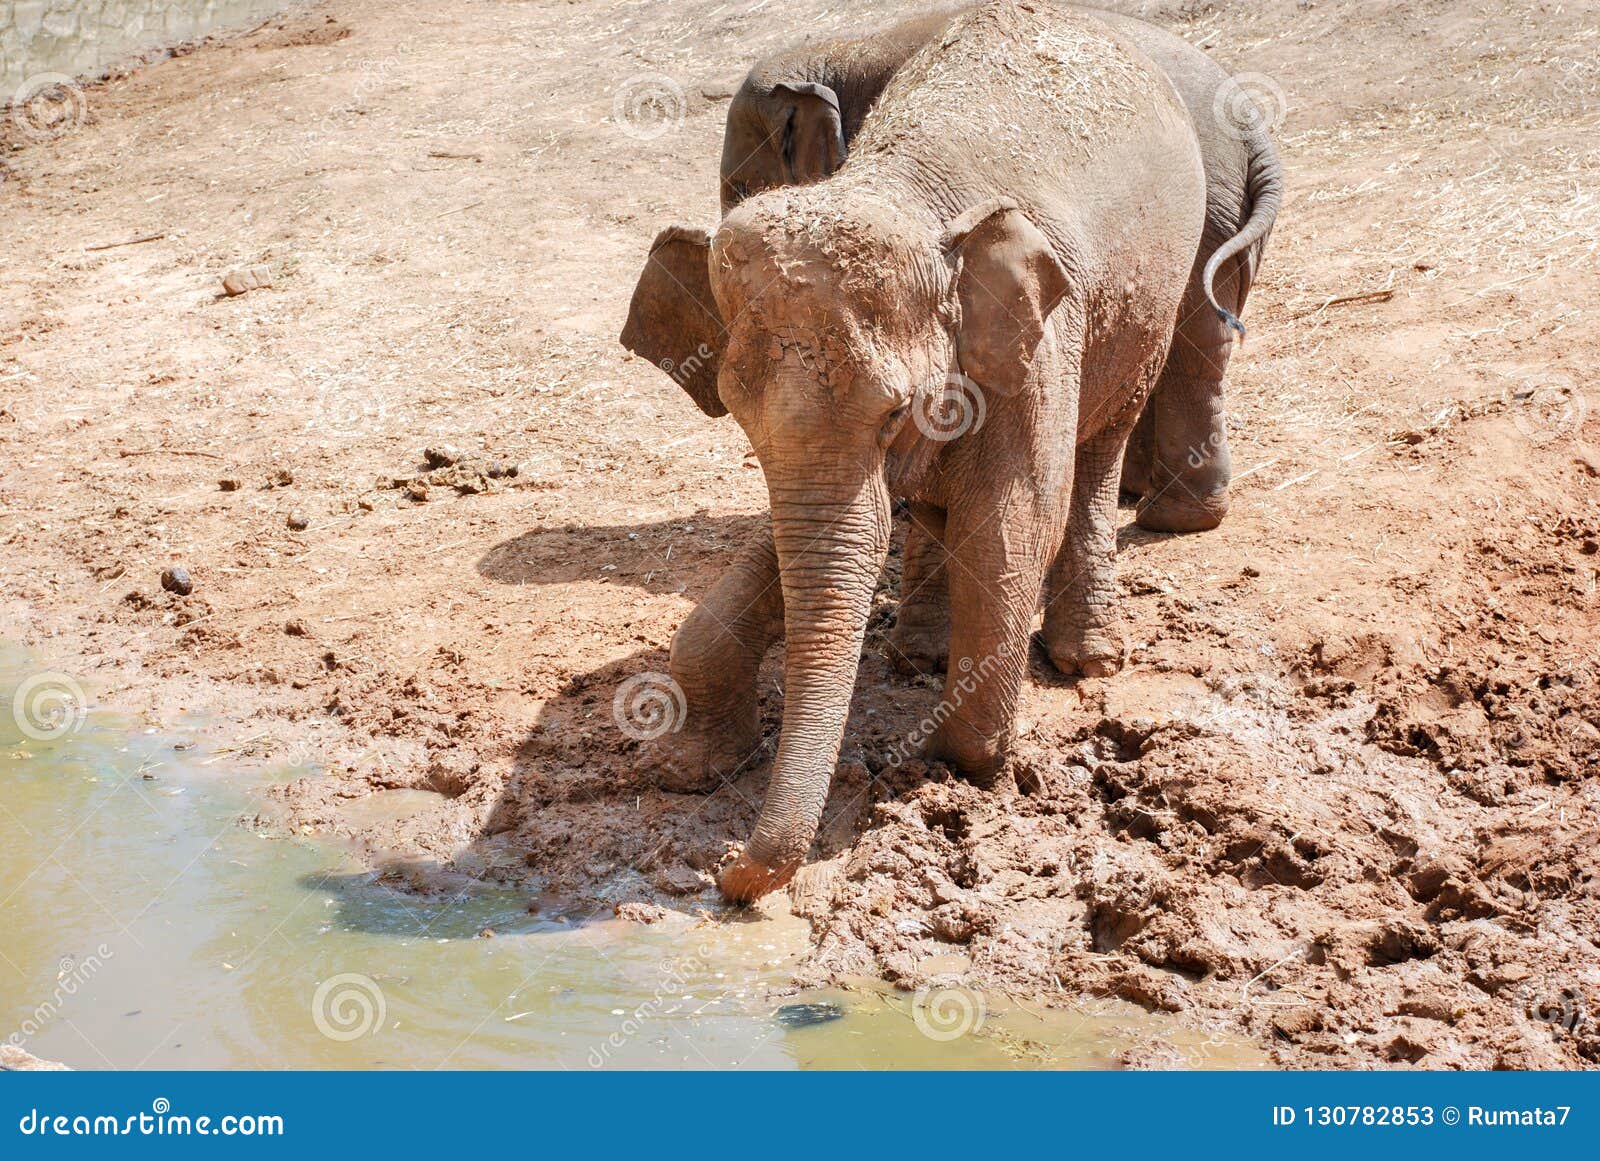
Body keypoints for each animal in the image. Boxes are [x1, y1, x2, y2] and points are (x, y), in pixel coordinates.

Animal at [621, 0, 1209, 901]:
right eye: (740, 419)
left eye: (898, 411)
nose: (725, 871)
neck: (899, 185)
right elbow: (801, 539)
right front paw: (682, 765)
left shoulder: (1040, 337)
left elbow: (1006, 526)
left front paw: (953, 763)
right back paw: (918, 652)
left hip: (1151, 303)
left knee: (1100, 448)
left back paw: (1086, 660)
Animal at [718, 3, 1283, 534]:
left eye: (742, 188)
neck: (838, 49)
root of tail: (1255, 136)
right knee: (1202, 340)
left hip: (1207, 216)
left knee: (1189, 339)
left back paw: (1166, 515)